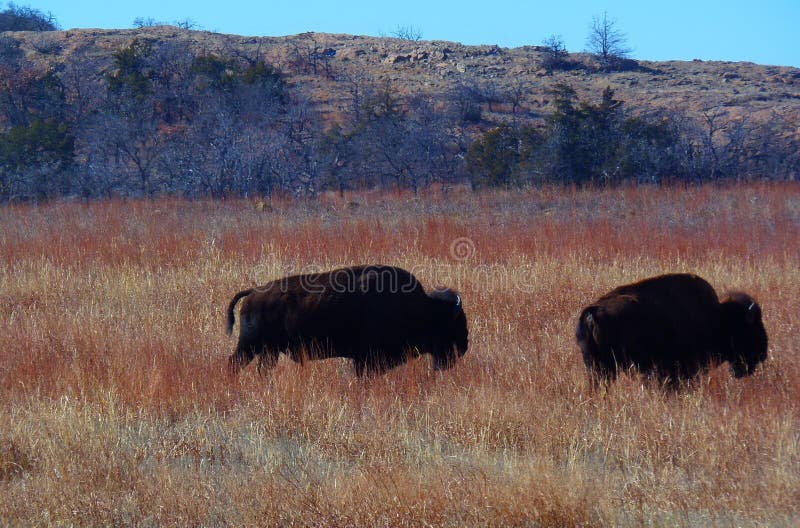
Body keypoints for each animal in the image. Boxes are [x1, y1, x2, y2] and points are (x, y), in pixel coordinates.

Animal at [226, 265, 468, 376]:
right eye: (456, 324)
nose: (464, 347)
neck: (424, 309)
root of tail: (254, 293)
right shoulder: (365, 359)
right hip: (250, 346)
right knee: (233, 363)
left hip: (269, 351)